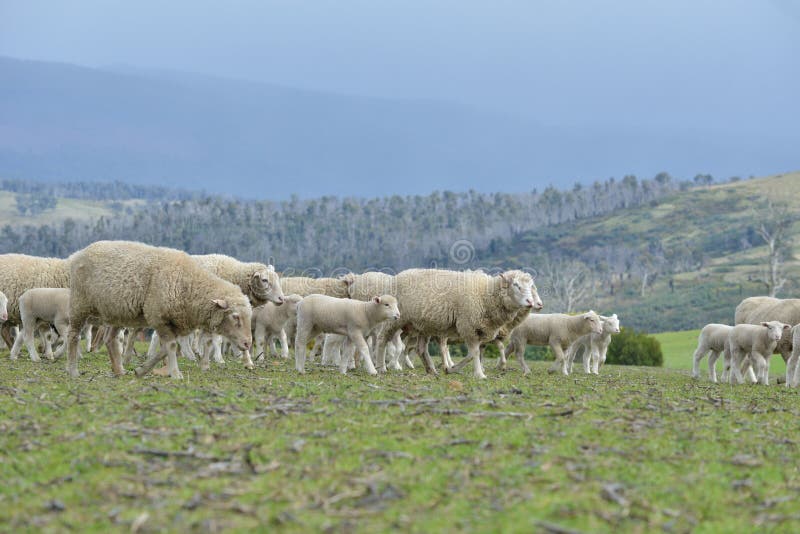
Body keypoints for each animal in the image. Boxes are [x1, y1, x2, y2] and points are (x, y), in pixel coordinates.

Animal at [65, 241, 253, 379]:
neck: (189, 285)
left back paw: (119, 370)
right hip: (79, 303)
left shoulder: (173, 322)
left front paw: (141, 370)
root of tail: (79, 253)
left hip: (118, 312)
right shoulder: (158, 317)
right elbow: (170, 346)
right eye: (235, 316)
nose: (247, 344)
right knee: (73, 336)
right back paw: (73, 371)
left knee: (110, 339)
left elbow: (164, 350)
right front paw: (176, 374)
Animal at [374, 269, 540, 379]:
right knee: (382, 339)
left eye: (531, 286)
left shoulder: (478, 330)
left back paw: (431, 370)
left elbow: (473, 354)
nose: (531, 302)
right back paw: (381, 367)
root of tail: (394, 278)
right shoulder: (468, 326)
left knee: (421, 349)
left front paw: (451, 369)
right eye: (516, 285)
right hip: (395, 320)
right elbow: (474, 353)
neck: (486, 296)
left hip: (423, 326)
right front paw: (479, 374)